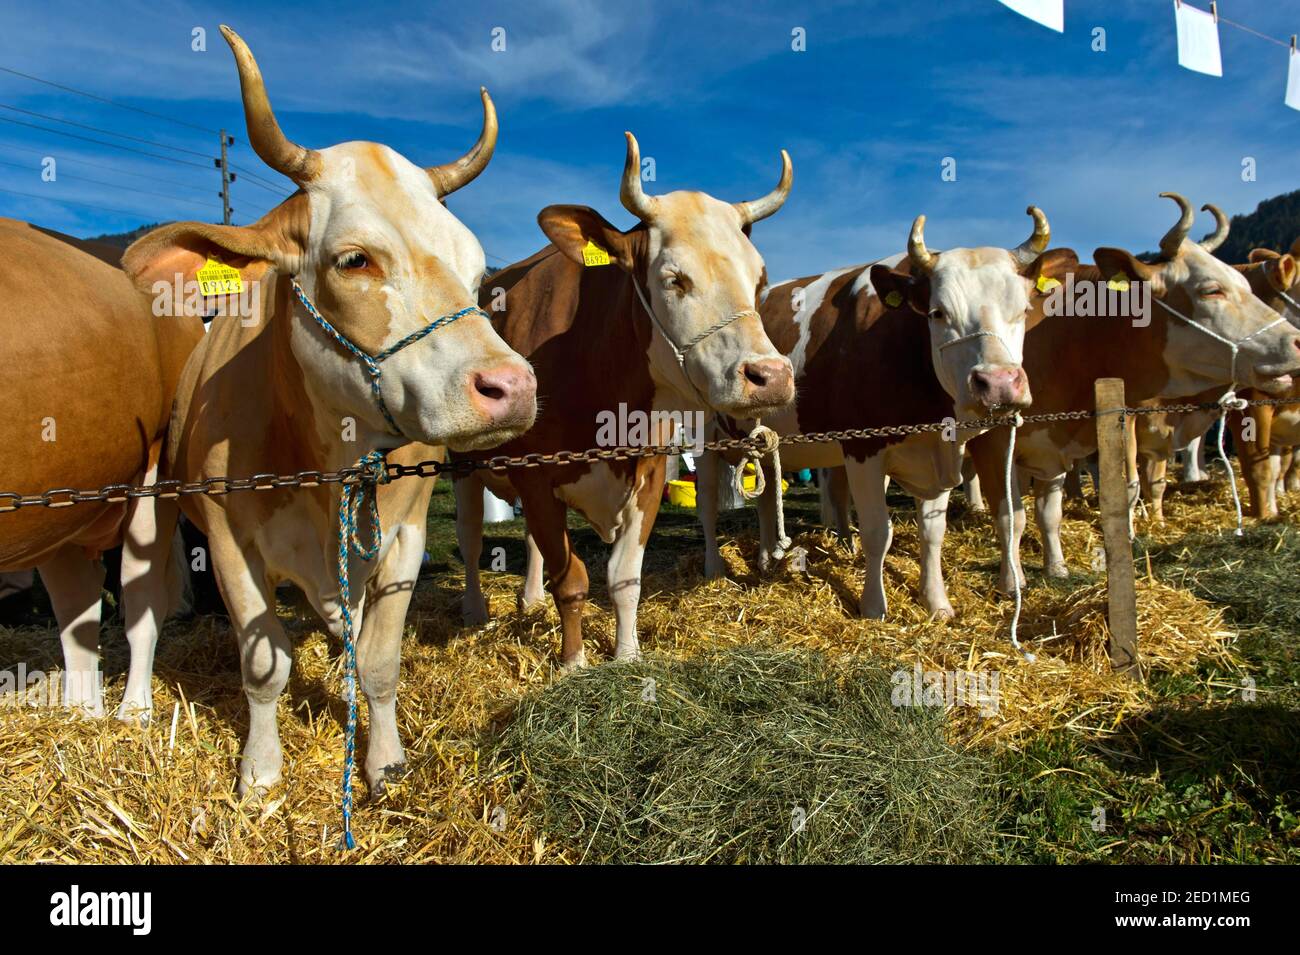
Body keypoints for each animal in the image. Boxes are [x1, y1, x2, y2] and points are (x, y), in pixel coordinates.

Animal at [0, 222, 204, 720]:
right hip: (63, 504)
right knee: (79, 609)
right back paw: (82, 713)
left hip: (154, 475)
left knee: (142, 598)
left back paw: (135, 713)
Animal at [120, 26, 537, 796]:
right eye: (354, 260)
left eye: (476, 269)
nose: (512, 385)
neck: (327, 462)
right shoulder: (229, 539)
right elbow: (264, 664)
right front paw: (259, 772)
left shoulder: (404, 535)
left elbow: (378, 658)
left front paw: (384, 760)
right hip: (147, 498)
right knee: (142, 609)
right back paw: (133, 705)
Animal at [453, 132, 796, 667]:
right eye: (674, 279)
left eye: (760, 281)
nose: (772, 377)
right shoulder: (537, 476)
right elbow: (572, 579)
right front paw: (574, 664)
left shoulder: (649, 472)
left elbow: (624, 578)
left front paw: (627, 654)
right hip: (459, 463)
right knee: (469, 538)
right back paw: (474, 609)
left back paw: (529, 599)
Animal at [697, 208, 1077, 619]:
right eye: (938, 313)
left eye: (1023, 310)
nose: (999, 383)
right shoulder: (863, 448)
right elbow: (878, 532)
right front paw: (874, 607)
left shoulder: (936, 451)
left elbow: (933, 532)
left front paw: (936, 602)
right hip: (700, 435)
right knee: (707, 504)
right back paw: (714, 569)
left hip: (765, 442)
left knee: (767, 498)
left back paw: (768, 560)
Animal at [966, 194, 1300, 589]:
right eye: (1211, 290)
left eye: (1246, 286)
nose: (1296, 341)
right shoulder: (994, 441)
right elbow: (1010, 516)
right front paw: (1012, 581)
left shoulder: (1063, 439)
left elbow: (1055, 511)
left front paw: (1057, 567)